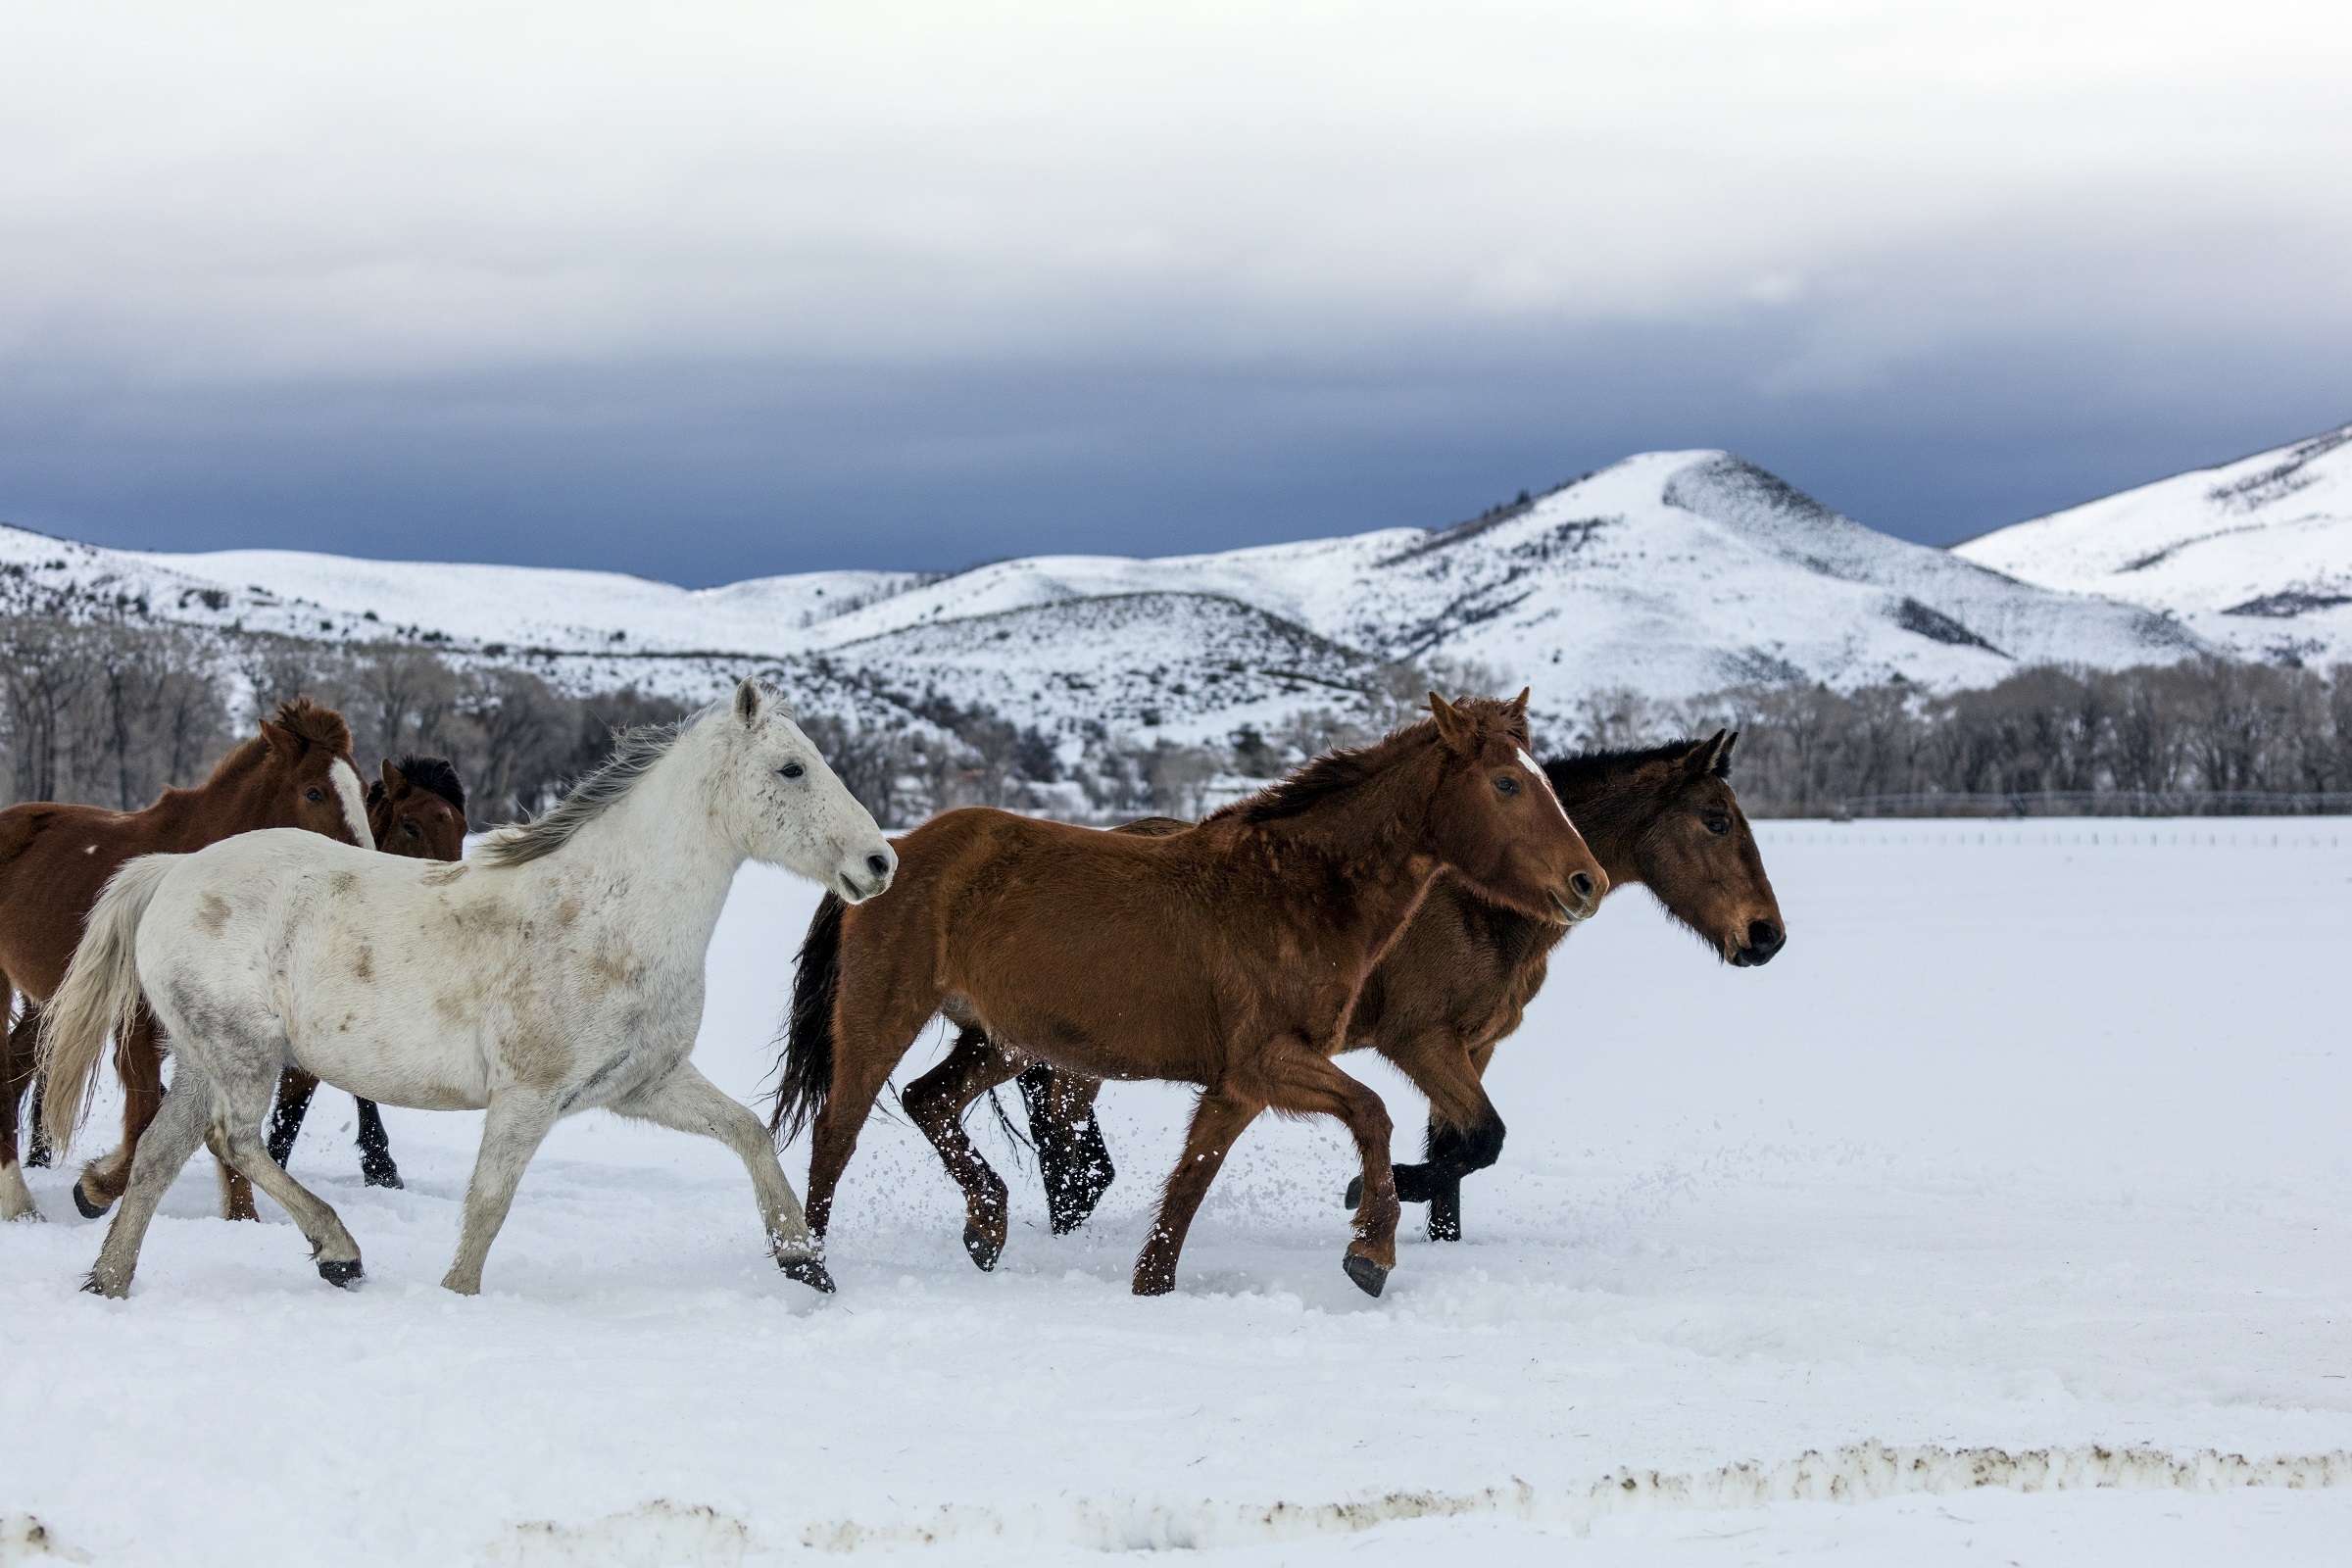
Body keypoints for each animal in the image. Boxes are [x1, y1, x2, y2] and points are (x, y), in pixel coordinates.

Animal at [0, 698, 373, 1225]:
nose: (366, 867)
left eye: (364, 791)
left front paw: (244, 1222)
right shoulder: (136, 1029)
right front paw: (93, 1189)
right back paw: (19, 1200)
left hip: (48, 1000)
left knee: (15, 1067)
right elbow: (144, 1123)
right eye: (314, 791)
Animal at [771, 692, 1607, 1298]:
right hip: (882, 1018)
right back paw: (809, 1267)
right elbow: (1372, 1113)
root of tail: (890, 854)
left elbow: (1188, 1187)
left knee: (929, 1099)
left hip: (1001, 1040)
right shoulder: (1271, 1061)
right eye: (1506, 782)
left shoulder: (1241, 1083)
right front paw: (1370, 1250)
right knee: (835, 1137)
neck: (1295, 890)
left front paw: (1153, 1289)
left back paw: (987, 1226)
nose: (1586, 883)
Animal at [985, 731, 1785, 1243]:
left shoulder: (1473, 1048)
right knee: (1062, 1138)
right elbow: (1481, 1140)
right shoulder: (1421, 1041)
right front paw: (1374, 1193)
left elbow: (1458, 1150)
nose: (1766, 935)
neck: (1477, 900)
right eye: (1716, 821)